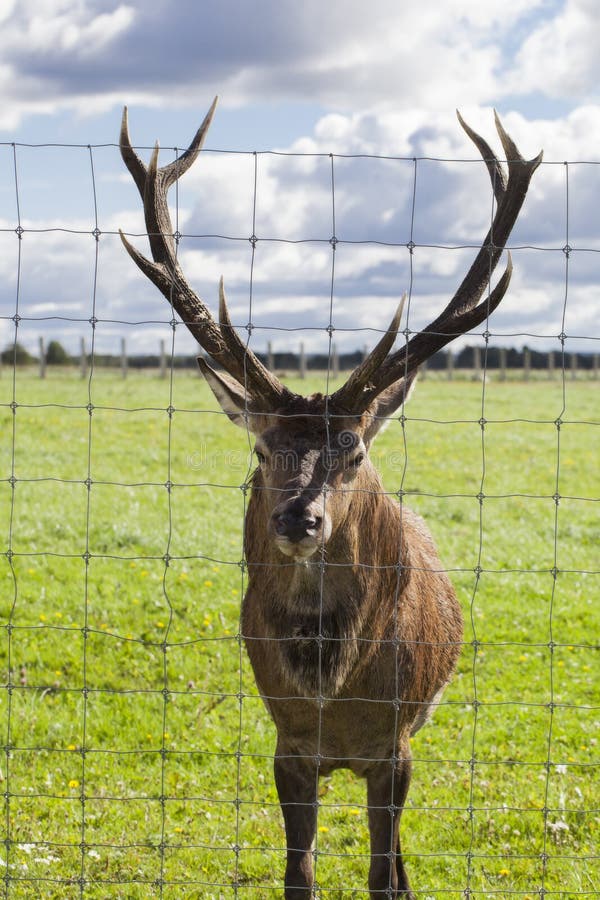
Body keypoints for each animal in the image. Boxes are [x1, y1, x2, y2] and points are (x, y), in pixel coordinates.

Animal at [119, 100, 541, 899]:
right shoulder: (287, 746)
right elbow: (299, 877)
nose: (298, 516)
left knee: (398, 858)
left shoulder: (395, 746)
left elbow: (380, 877)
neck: (334, 698)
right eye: (262, 450)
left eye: (353, 451)